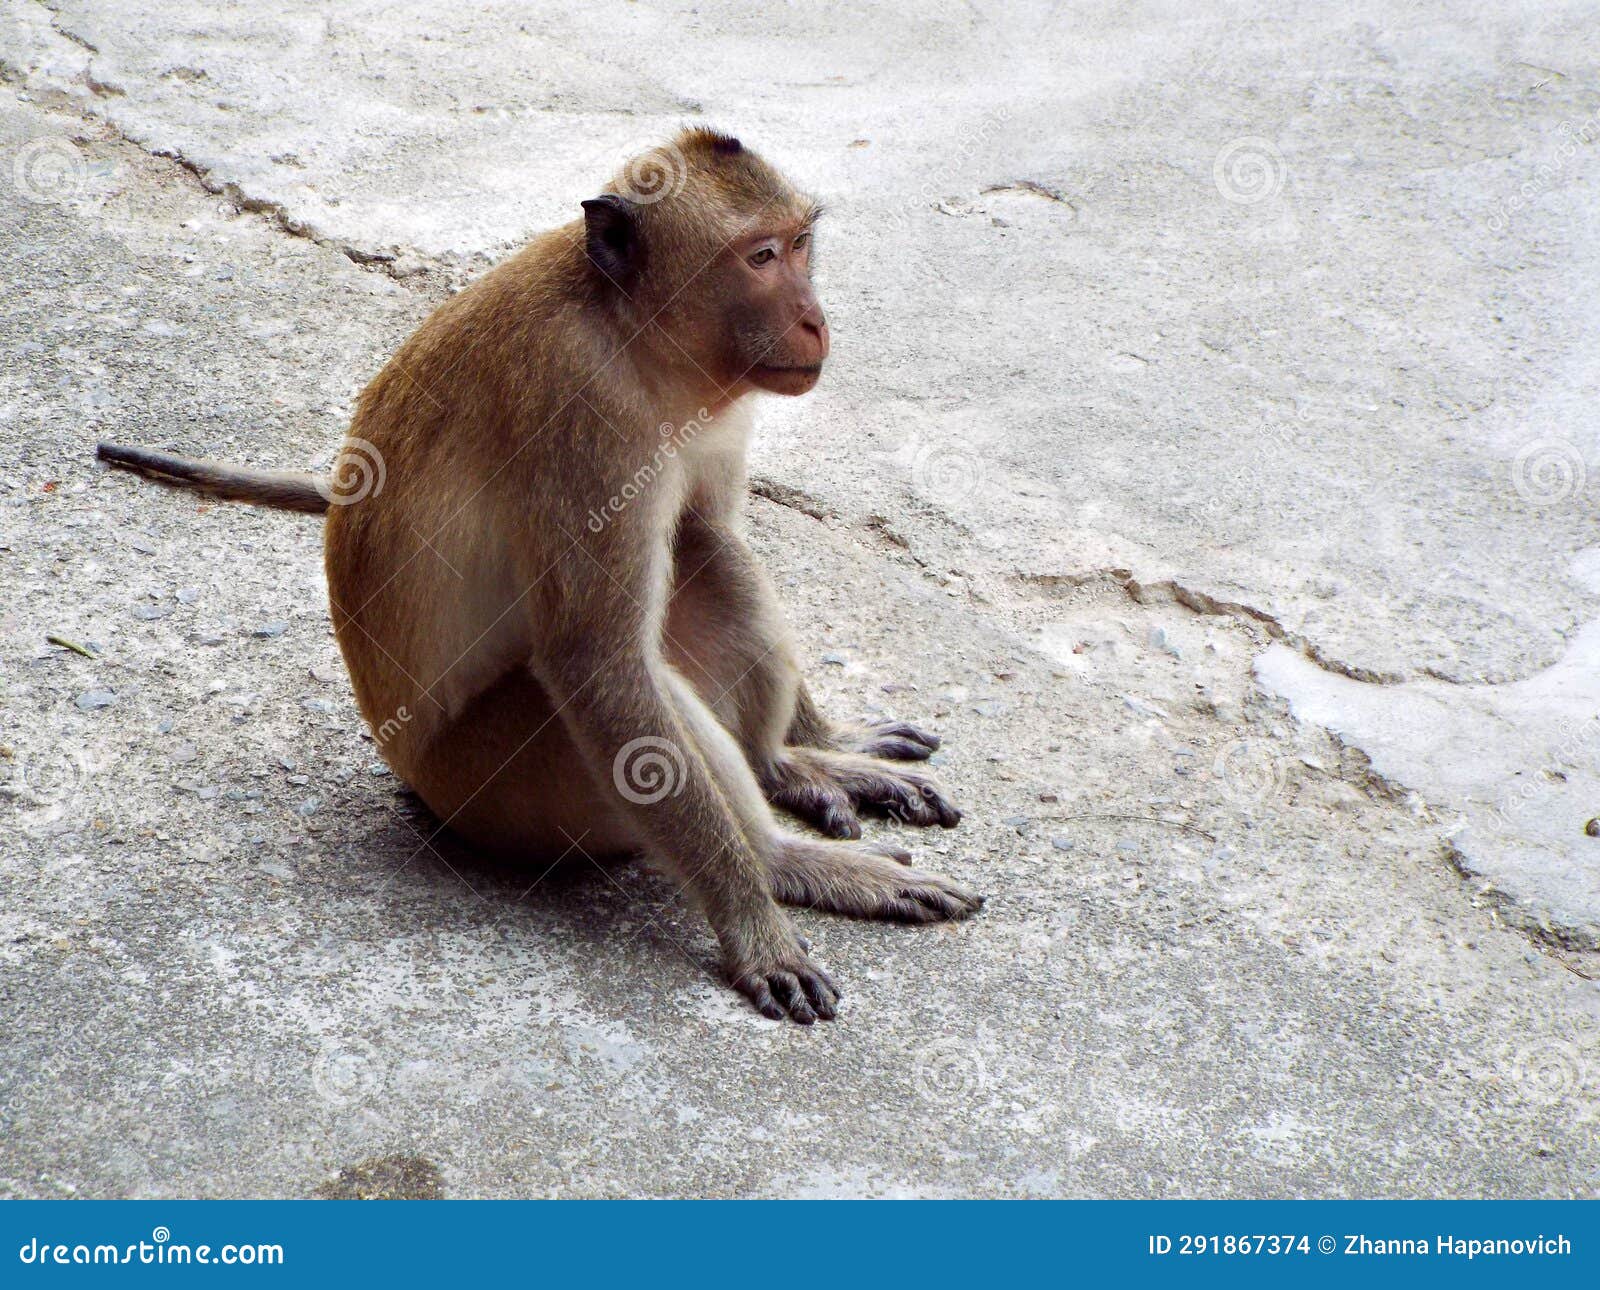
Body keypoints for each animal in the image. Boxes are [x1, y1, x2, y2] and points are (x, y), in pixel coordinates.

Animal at [96, 127, 982, 1023]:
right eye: (759, 257)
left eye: (801, 245)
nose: (813, 319)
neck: (634, 332)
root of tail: (413, 773)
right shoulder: (584, 417)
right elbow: (598, 665)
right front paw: (750, 922)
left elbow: (716, 532)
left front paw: (821, 743)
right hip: (495, 792)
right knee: (594, 681)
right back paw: (777, 862)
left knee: (707, 550)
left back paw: (788, 769)